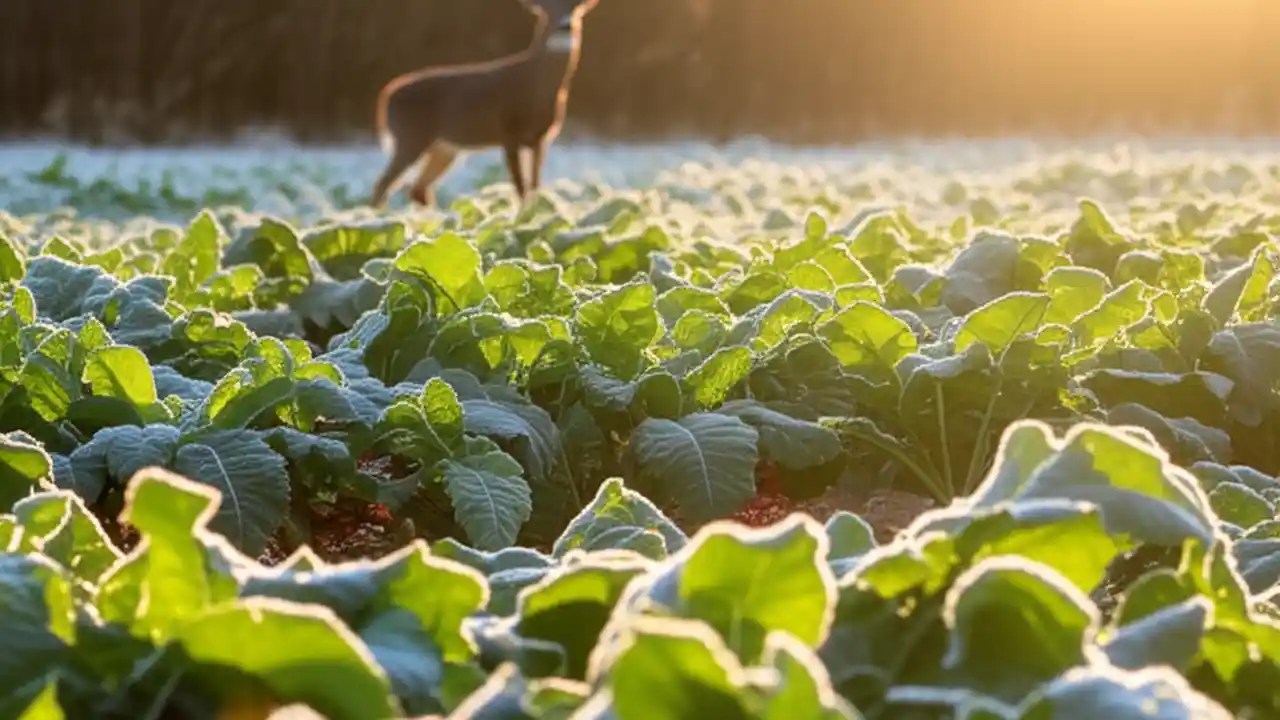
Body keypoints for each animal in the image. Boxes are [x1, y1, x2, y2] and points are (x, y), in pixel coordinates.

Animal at [370, 0, 601, 209]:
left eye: (575, 7)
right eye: (545, 11)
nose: (565, 25)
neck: (537, 88)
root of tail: (386, 96)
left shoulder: (541, 138)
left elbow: (535, 186)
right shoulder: (509, 133)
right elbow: (521, 187)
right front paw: (523, 216)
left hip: (443, 147)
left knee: (418, 188)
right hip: (410, 137)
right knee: (383, 184)